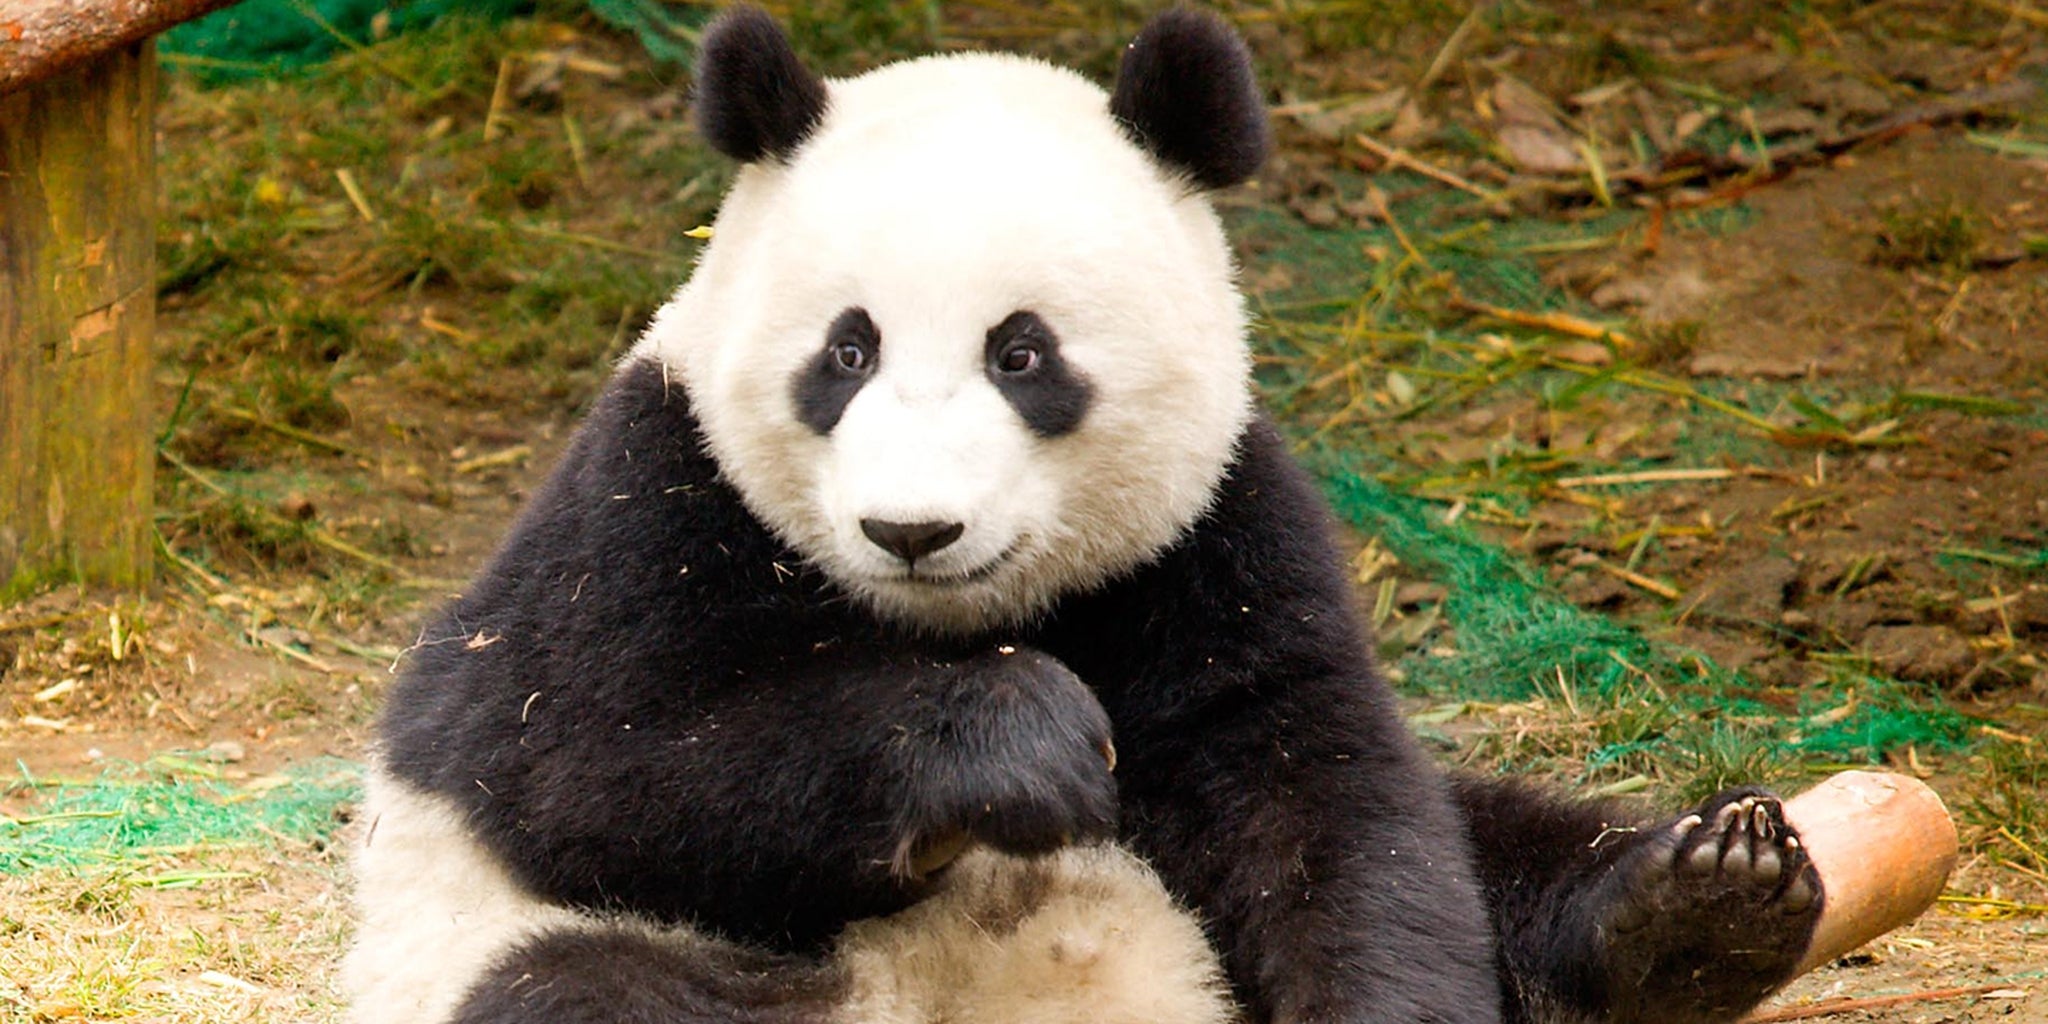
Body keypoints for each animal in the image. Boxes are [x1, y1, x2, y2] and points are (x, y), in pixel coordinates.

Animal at [345, 7, 1827, 1024]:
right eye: (845, 351)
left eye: (1023, 353)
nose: (911, 532)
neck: (951, 619)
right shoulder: (641, 499)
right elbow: (592, 758)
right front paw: (1018, 738)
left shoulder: (1215, 534)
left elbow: (1328, 804)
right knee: (582, 987)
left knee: (1488, 836)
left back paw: (1701, 901)